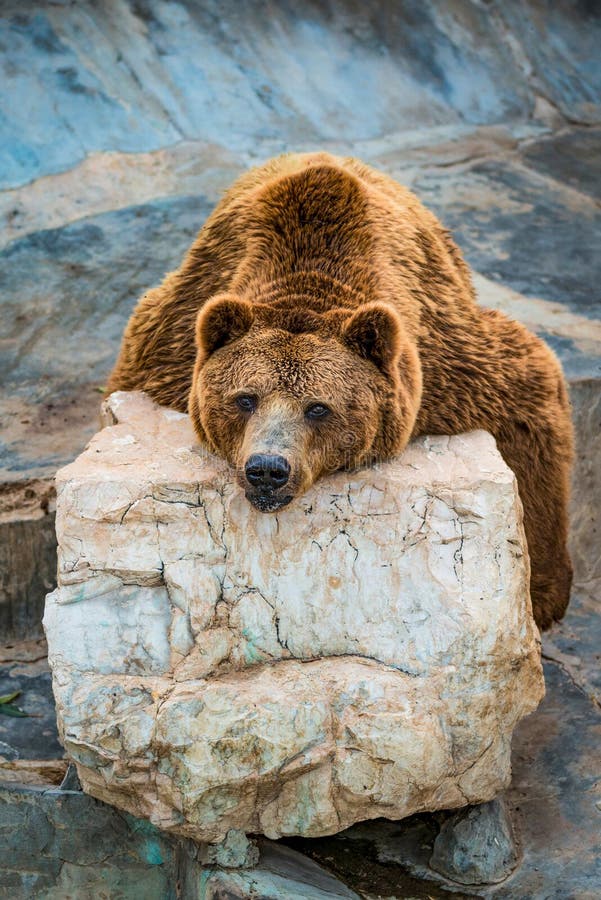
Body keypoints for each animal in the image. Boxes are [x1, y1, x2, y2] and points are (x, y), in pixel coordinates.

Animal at [107, 152, 574, 630]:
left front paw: (540, 594)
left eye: (318, 408)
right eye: (245, 398)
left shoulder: (448, 365)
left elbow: (528, 407)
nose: (268, 470)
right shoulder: (172, 349)